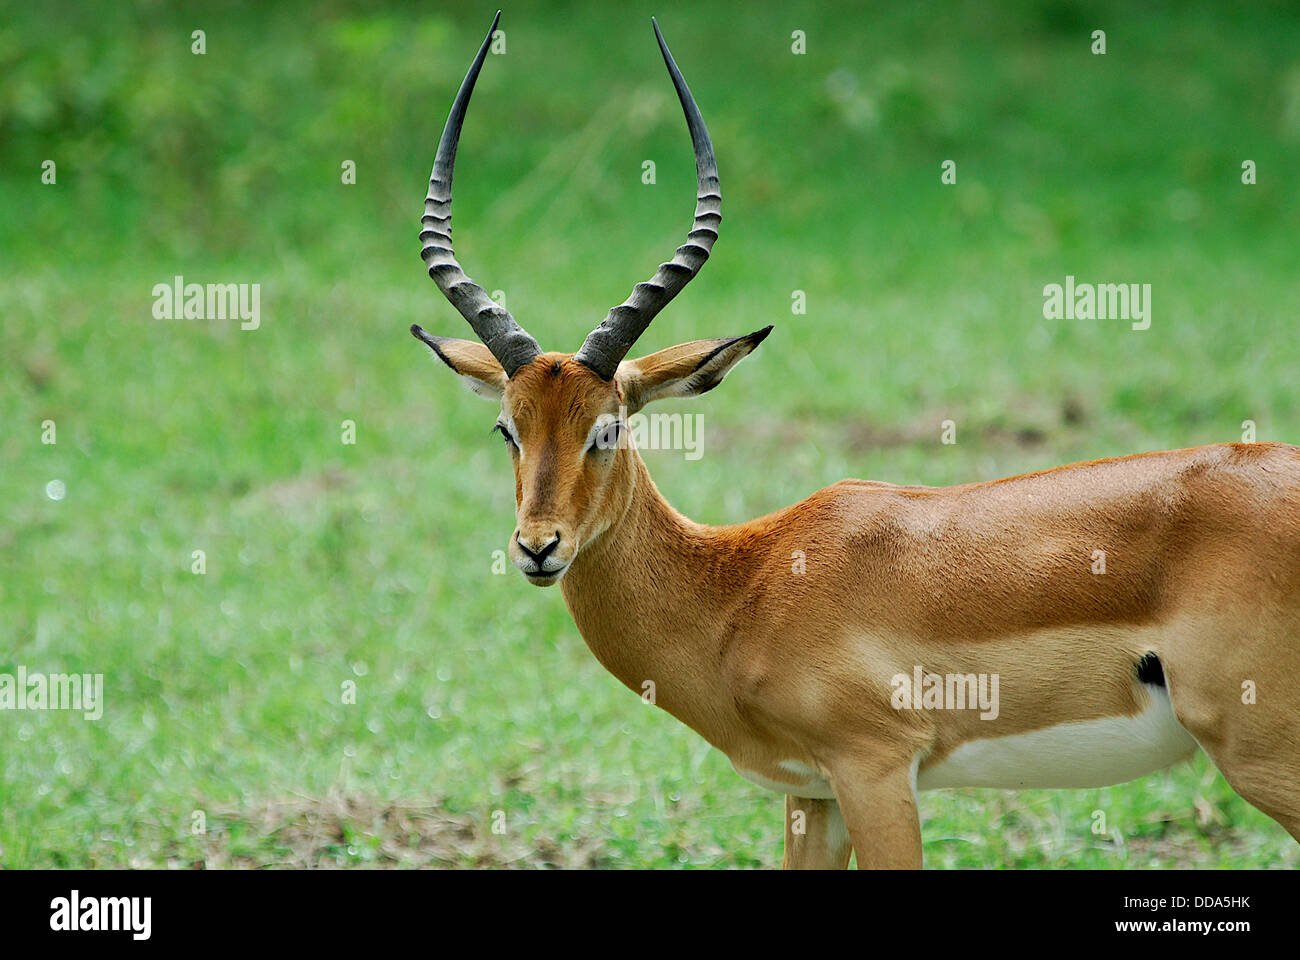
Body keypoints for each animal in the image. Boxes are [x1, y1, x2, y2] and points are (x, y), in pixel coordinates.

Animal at [410, 13, 1300, 868]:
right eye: (507, 428)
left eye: (608, 426)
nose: (538, 547)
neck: (741, 589)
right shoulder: (812, 795)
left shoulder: (873, 769)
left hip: (1262, 755)